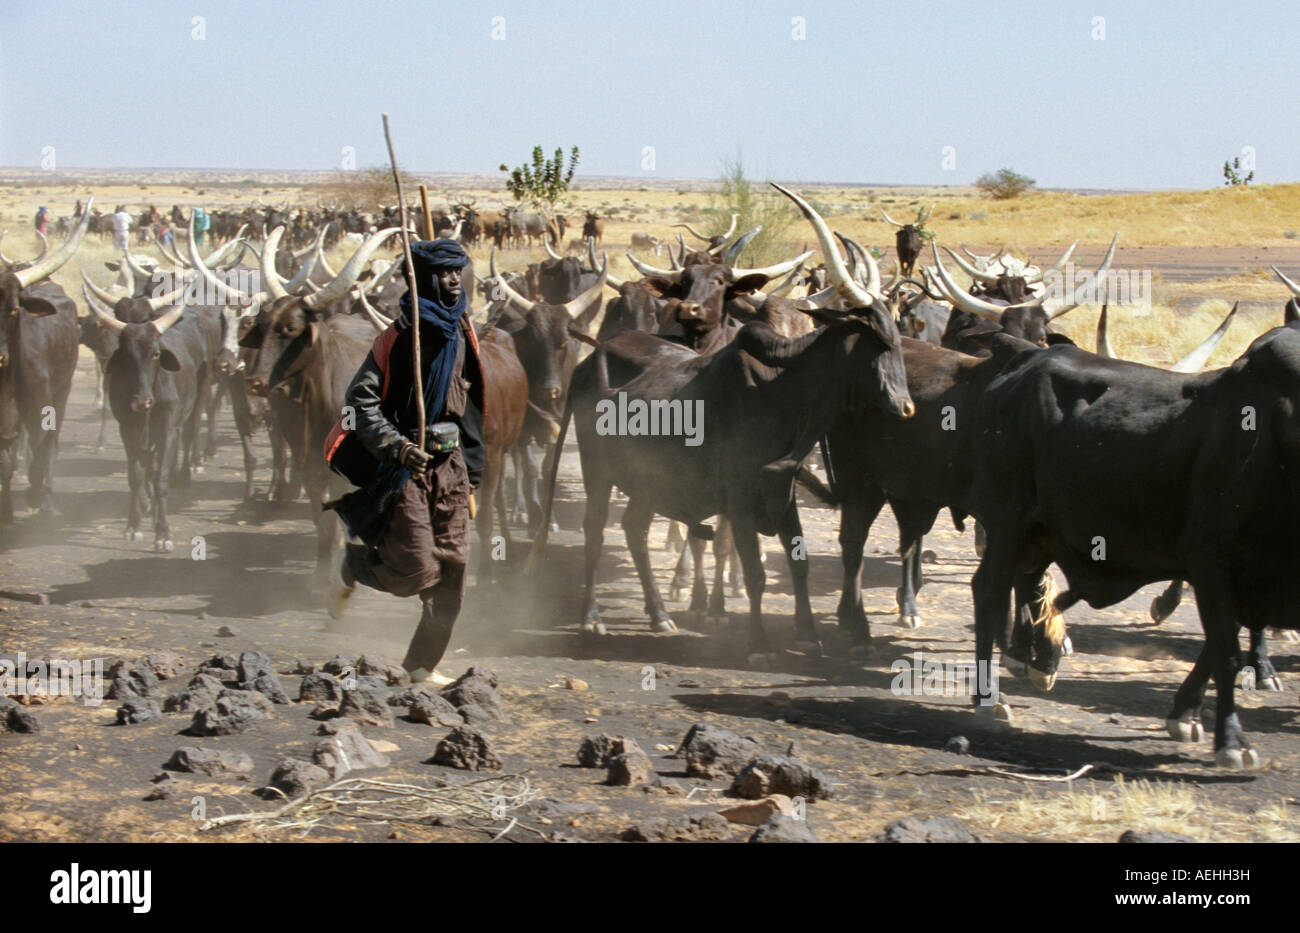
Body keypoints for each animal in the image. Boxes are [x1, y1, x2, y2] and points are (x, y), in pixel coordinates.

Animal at [0, 203, 91, 522]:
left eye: (14, 309)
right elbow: (5, 464)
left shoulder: (39, 410)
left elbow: (37, 455)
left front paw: (35, 496)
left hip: (60, 395)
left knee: (50, 446)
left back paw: (46, 498)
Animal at [526, 184, 914, 664]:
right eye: (874, 339)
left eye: (897, 334)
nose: (905, 407)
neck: (779, 387)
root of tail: (592, 356)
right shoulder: (740, 502)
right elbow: (753, 572)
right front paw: (758, 643)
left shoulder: (783, 498)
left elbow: (799, 563)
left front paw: (807, 633)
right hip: (598, 472)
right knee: (596, 532)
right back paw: (592, 618)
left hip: (648, 480)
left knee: (634, 529)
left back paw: (660, 615)